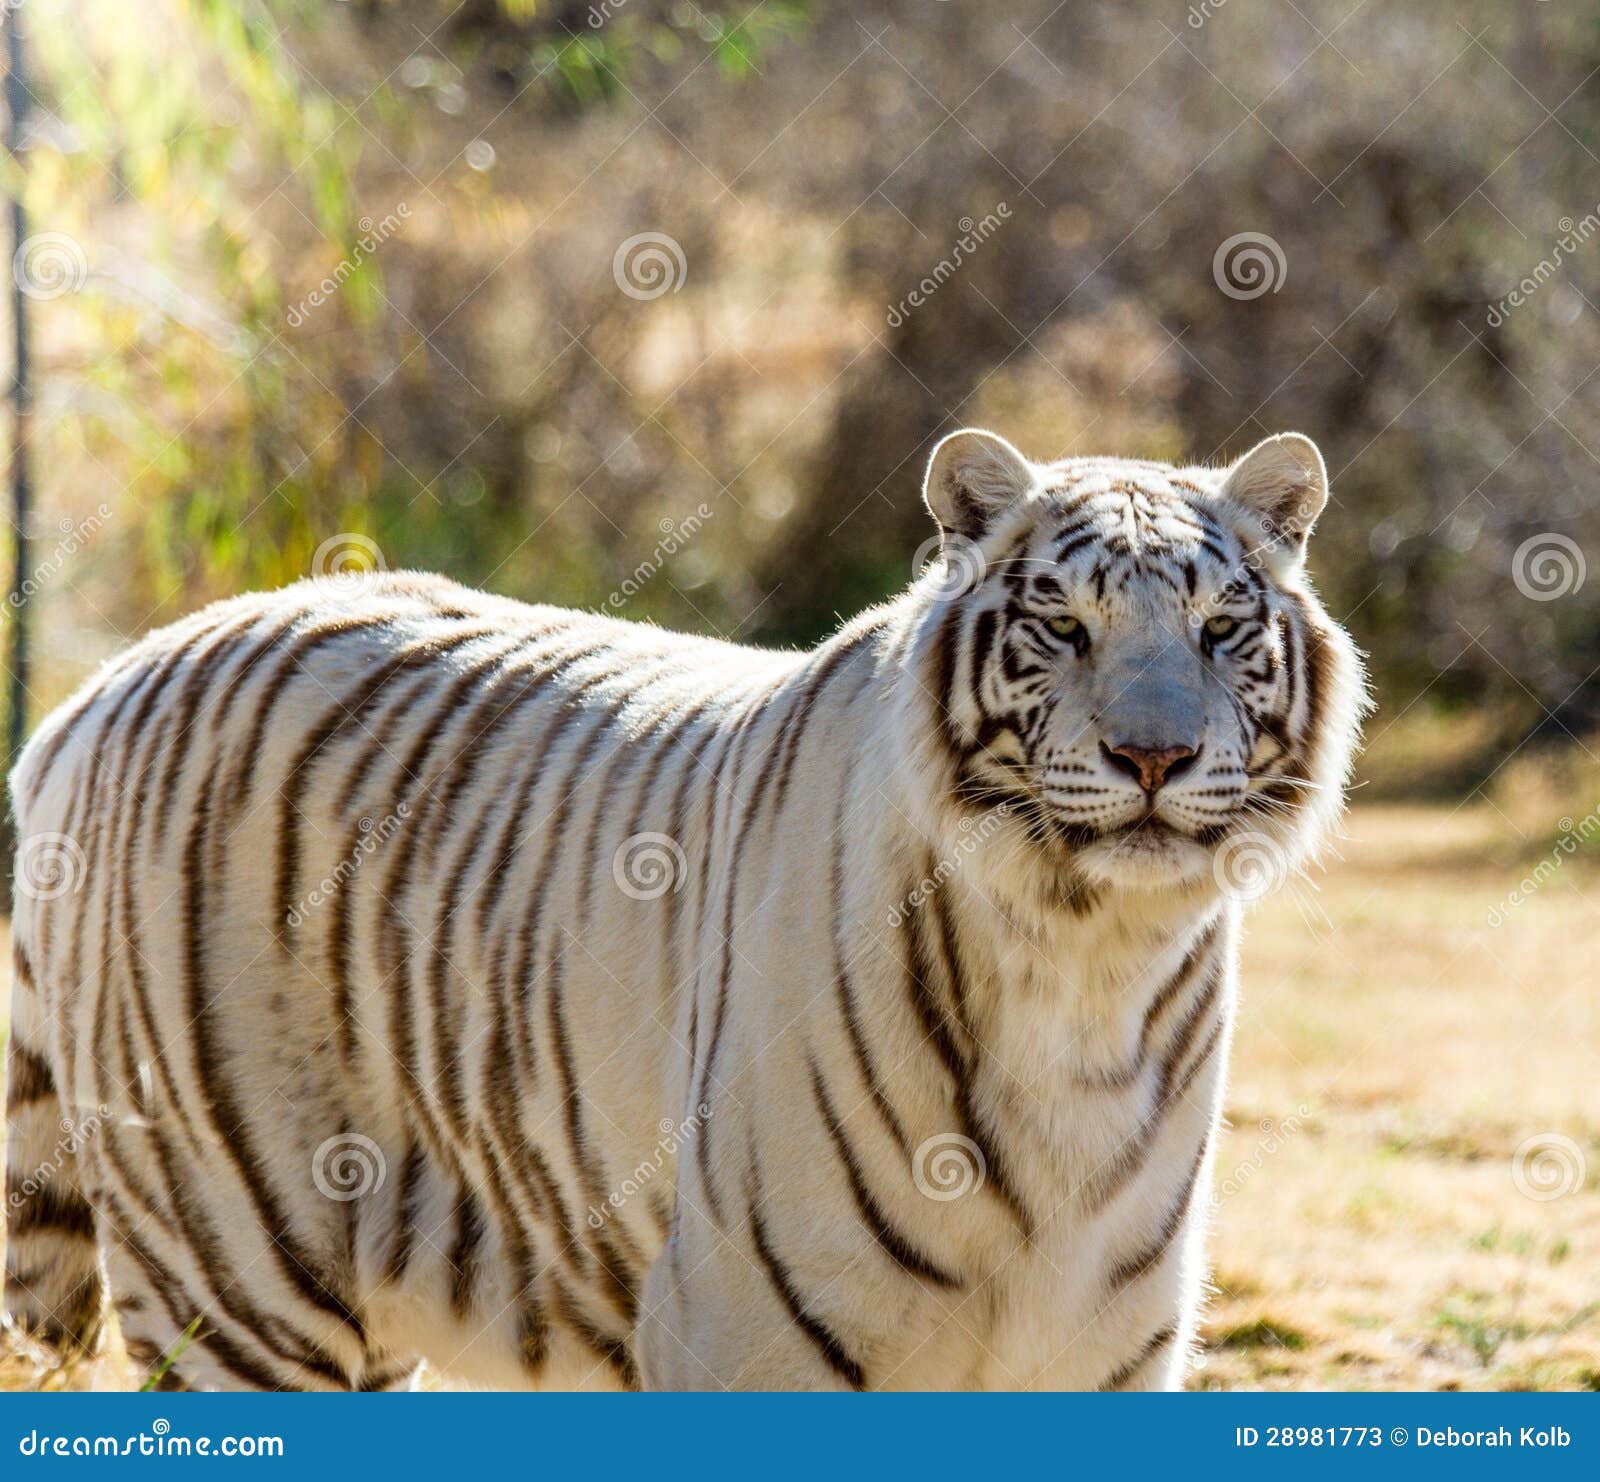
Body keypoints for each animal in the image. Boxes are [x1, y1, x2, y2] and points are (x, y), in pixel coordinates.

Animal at [3, 428, 1365, 1391]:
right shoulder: (752, 1332)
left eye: (1221, 628)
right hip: (237, 1282)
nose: (1153, 756)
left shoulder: (1101, 1350)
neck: (1085, 960)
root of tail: (101, 687)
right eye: (1061, 625)